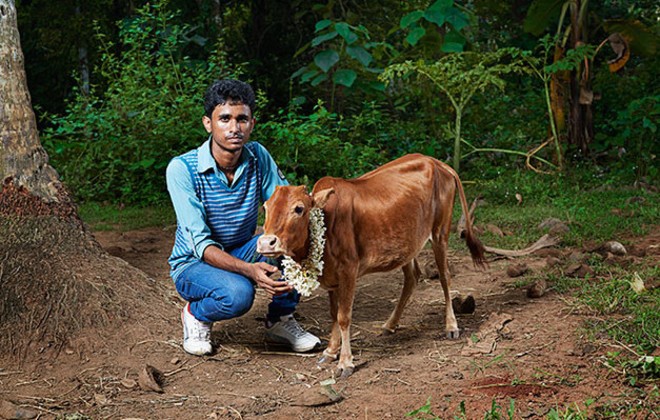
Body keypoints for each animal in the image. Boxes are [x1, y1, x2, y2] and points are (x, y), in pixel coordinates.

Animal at [256, 154, 486, 377]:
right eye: (266, 207)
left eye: (299, 208)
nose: (266, 242)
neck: (326, 221)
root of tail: (438, 163)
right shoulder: (332, 275)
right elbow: (334, 314)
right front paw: (330, 352)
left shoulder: (348, 270)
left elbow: (344, 317)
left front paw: (345, 363)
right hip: (407, 243)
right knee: (412, 277)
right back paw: (390, 325)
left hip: (440, 232)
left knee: (445, 276)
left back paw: (451, 325)